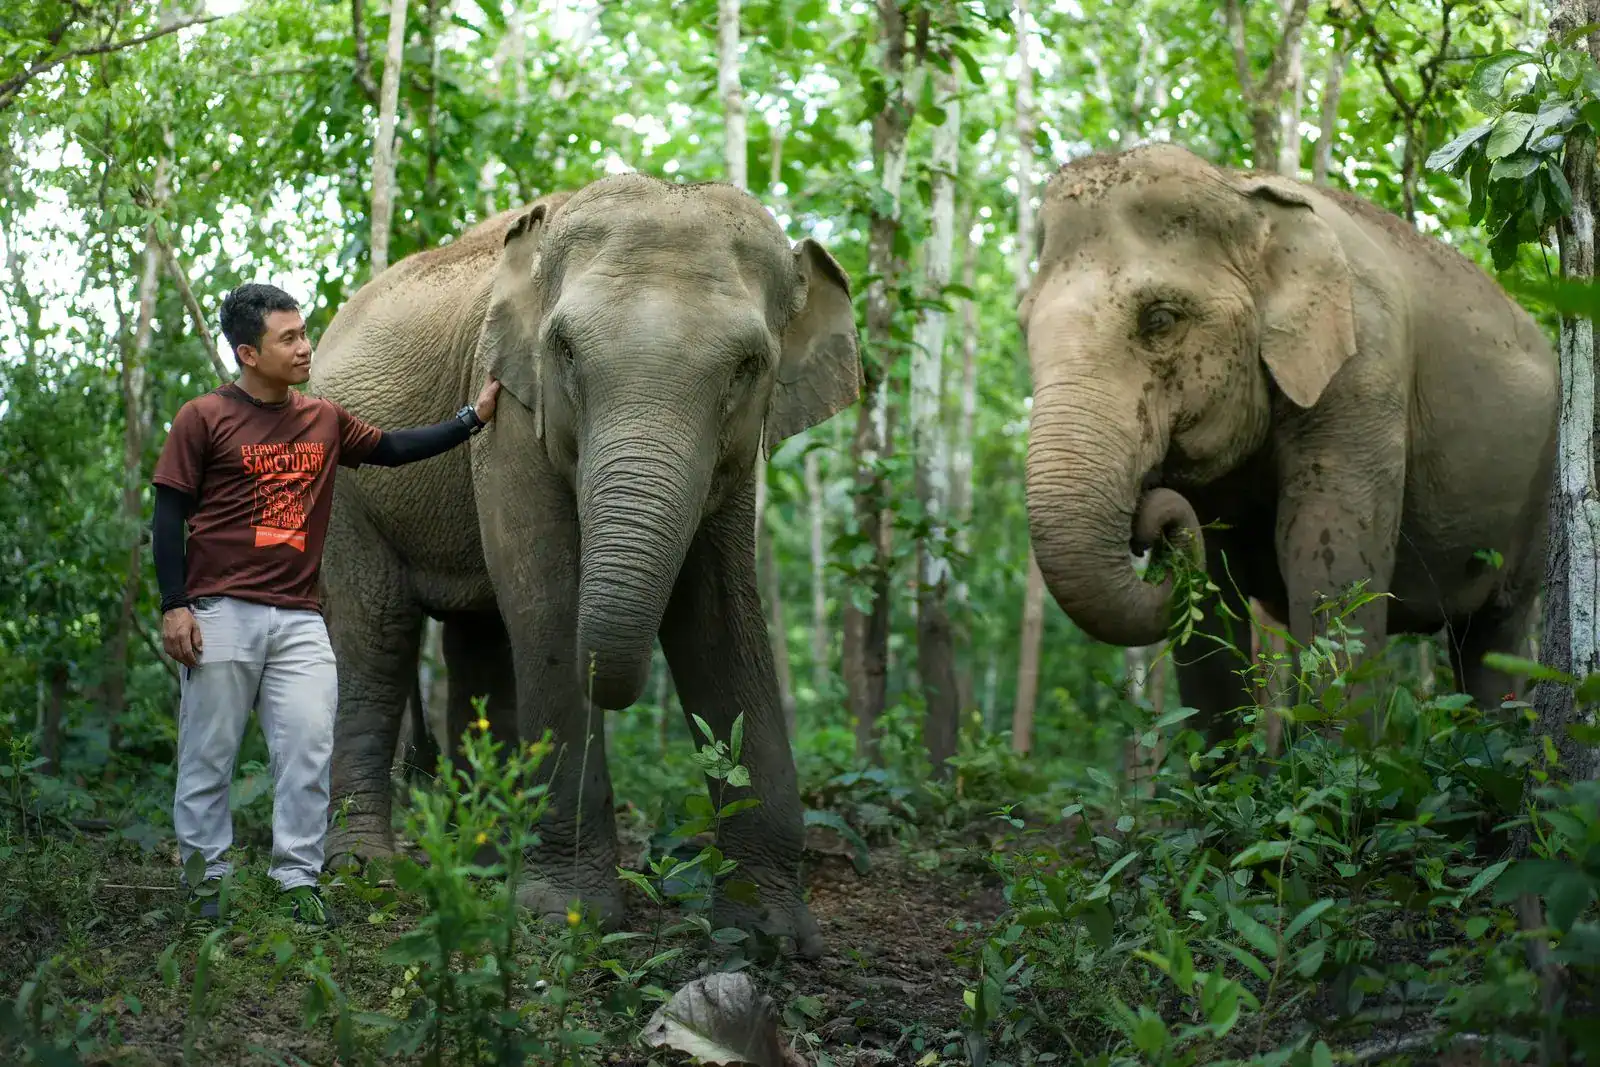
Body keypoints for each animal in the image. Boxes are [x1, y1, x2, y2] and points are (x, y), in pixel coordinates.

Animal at [307, 174, 863, 958]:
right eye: (564, 350)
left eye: (749, 366)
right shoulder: (508, 411)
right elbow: (547, 604)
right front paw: (565, 919)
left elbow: (721, 617)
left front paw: (771, 937)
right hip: (345, 488)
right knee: (375, 638)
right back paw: (367, 871)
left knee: (478, 648)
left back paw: (482, 867)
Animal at [1017, 143, 1557, 747]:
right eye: (1023, 329)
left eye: (1159, 319)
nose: (1149, 519)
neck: (1241, 191)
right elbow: (1210, 595)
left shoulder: (1365, 364)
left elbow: (1323, 554)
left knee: (1495, 634)